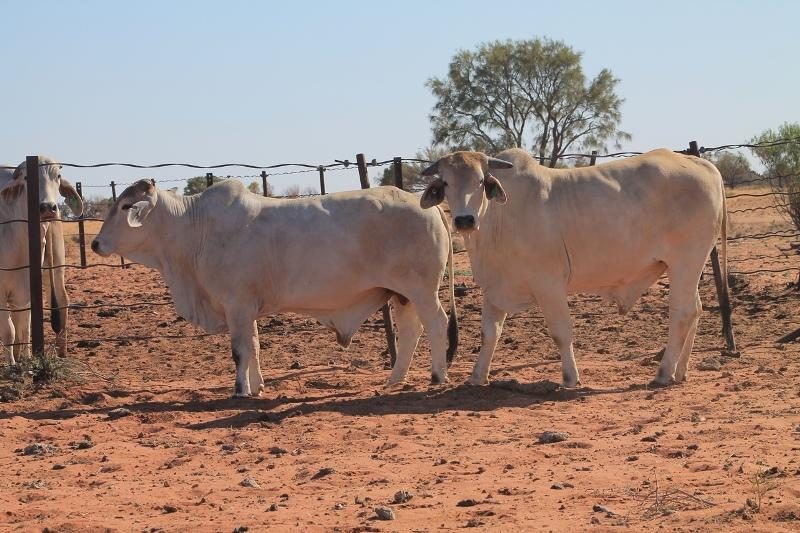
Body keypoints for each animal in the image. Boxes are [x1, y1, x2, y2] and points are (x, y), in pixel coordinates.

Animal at [0, 157, 83, 363]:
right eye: (26, 178)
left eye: (58, 176)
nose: (48, 208)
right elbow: (9, 331)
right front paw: (12, 363)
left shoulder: (26, 290)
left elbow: (22, 328)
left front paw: (25, 360)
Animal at [91, 180, 458, 397]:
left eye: (125, 207)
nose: (95, 243)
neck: (193, 229)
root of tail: (426, 205)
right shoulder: (245, 309)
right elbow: (253, 345)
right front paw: (258, 386)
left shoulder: (237, 305)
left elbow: (240, 350)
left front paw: (240, 390)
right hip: (403, 294)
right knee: (410, 330)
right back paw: (395, 379)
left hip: (422, 289)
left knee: (436, 324)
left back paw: (437, 376)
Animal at [418, 148, 729, 388]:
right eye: (445, 183)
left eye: (482, 181)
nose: (464, 220)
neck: (499, 219)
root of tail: (704, 166)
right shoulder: (494, 288)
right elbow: (489, 333)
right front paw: (477, 377)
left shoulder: (549, 284)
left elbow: (561, 332)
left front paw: (569, 377)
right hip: (687, 268)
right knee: (695, 310)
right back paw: (680, 371)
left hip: (686, 262)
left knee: (683, 312)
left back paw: (664, 373)